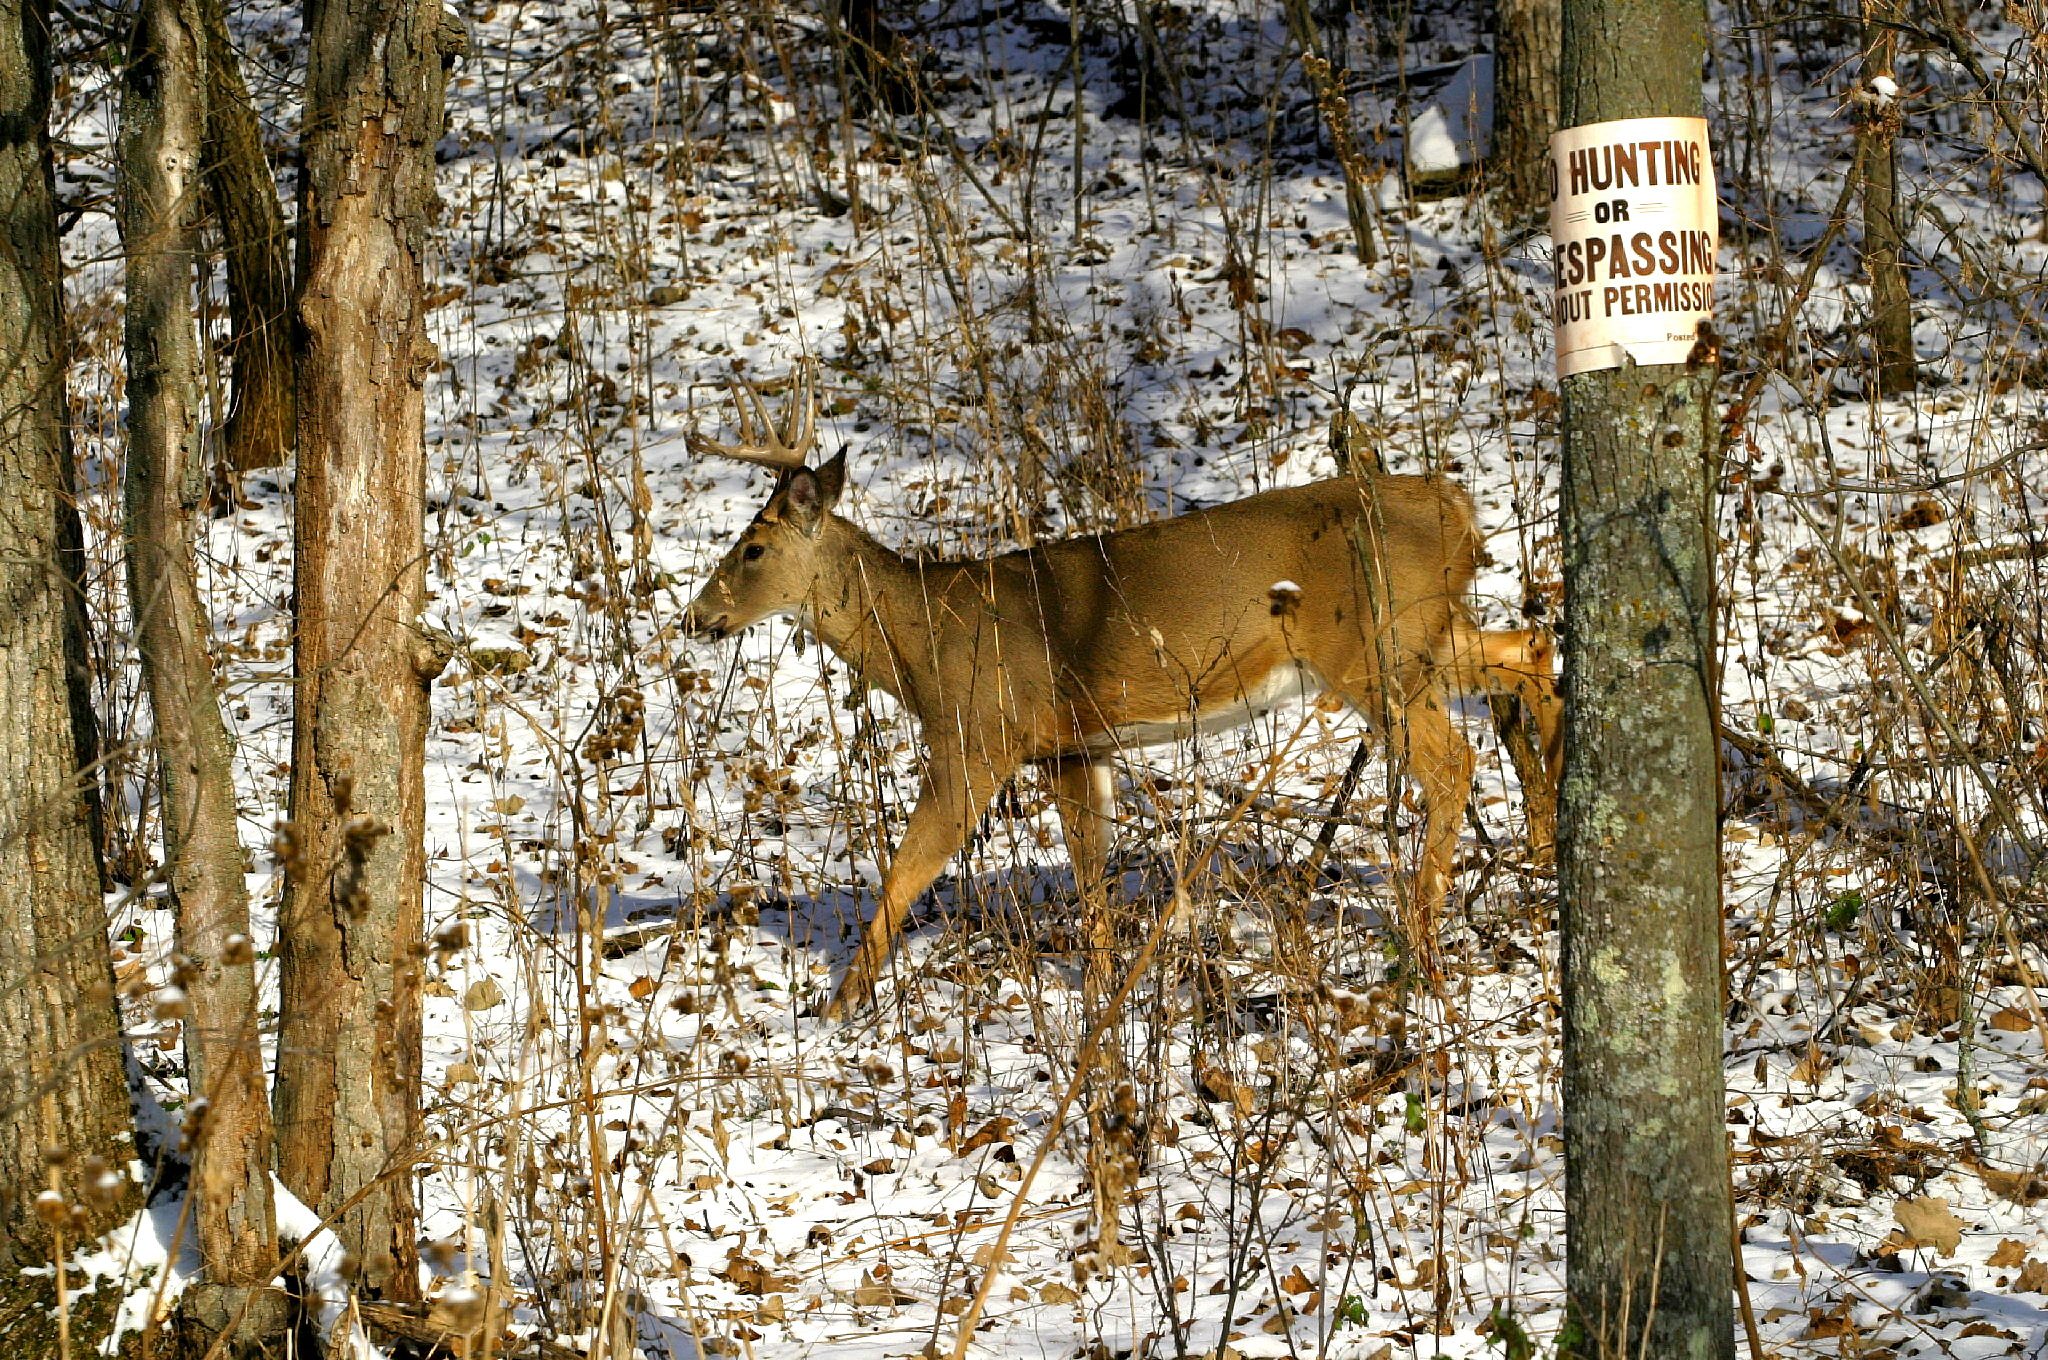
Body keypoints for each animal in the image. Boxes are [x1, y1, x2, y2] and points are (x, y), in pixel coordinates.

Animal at [679, 370, 1562, 1021]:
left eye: (752, 547)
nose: (696, 615)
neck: (925, 639)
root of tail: (1458, 509)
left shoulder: (980, 734)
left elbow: (905, 870)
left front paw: (839, 1007)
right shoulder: (1075, 745)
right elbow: (1091, 874)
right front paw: (1105, 998)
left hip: (1375, 649)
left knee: (1452, 760)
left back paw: (1424, 943)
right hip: (1424, 636)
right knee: (1530, 652)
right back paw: (1547, 840)